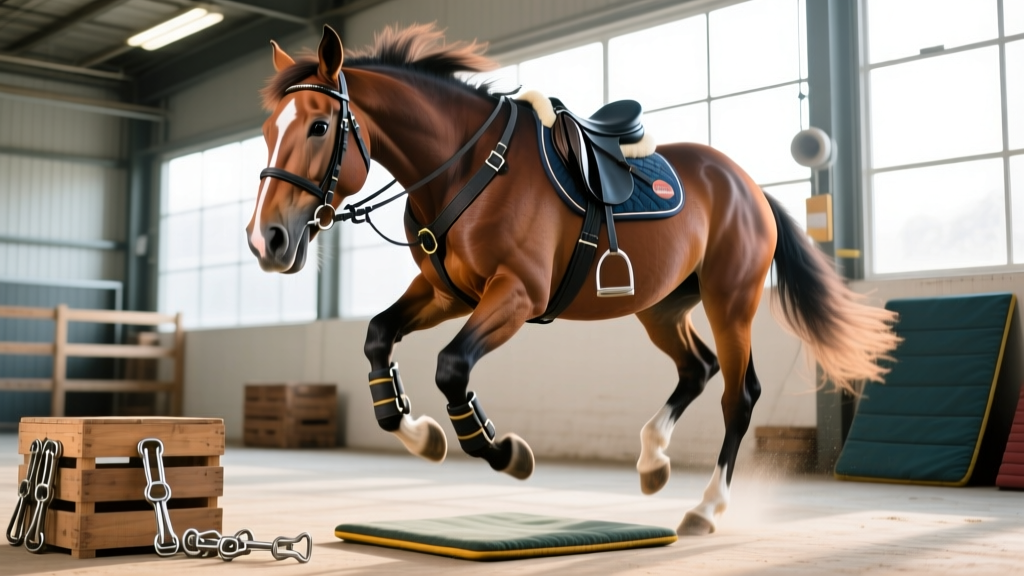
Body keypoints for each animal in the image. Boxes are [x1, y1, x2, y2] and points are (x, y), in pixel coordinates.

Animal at [246, 24, 899, 536]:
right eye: (268, 131)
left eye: (320, 127)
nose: (266, 240)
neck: (464, 163)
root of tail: (746, 184)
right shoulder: (446, 293)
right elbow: (378, 337)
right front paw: (419, 433)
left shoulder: (516, 294)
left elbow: (452, 367)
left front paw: (504, 451)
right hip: (660, 307)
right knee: (697, 368)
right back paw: (652, 463)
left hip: (728, 300)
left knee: (738, 394)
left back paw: (706, 509)